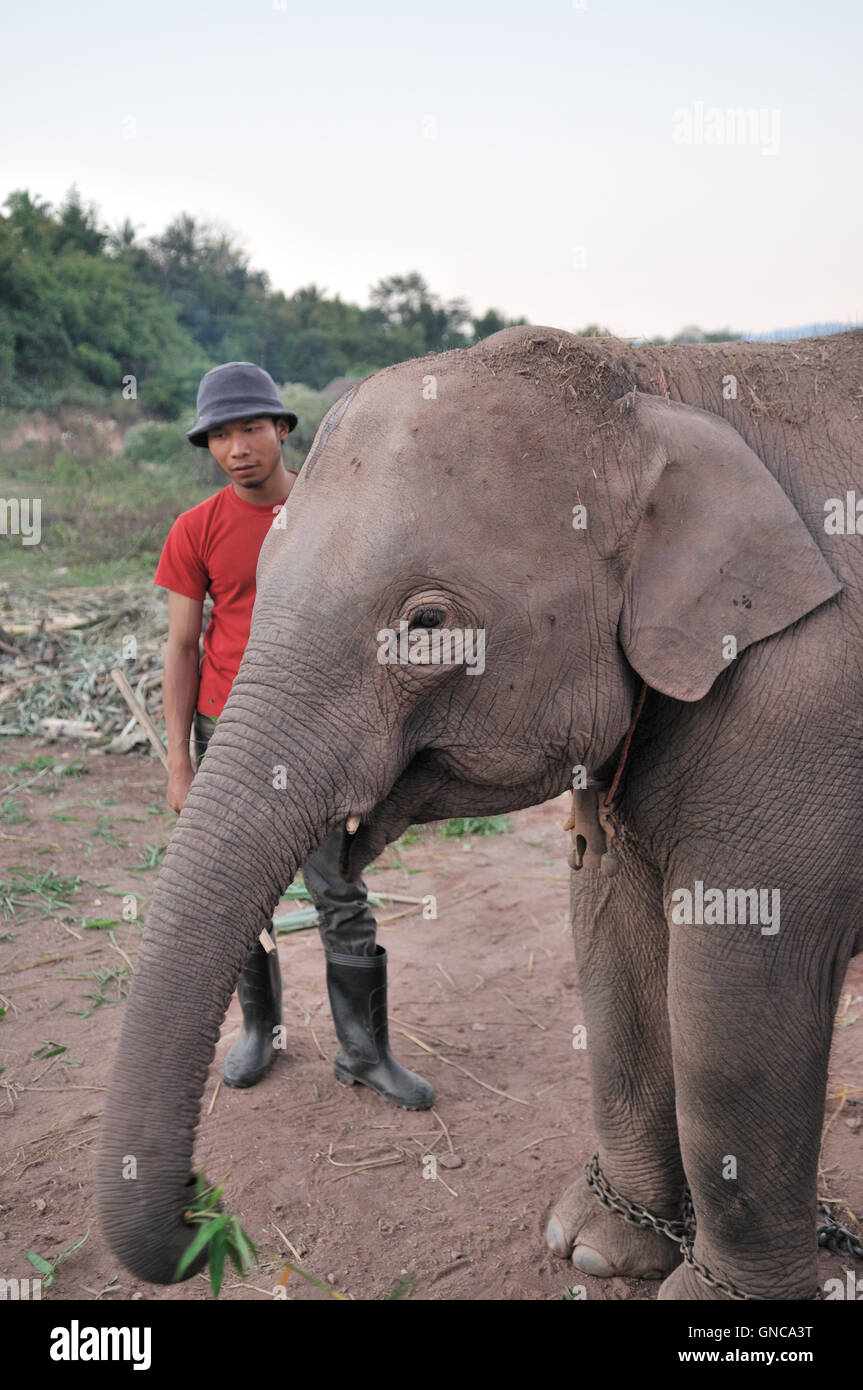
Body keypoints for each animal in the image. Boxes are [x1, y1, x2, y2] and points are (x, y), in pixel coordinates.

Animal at [97, 324, 863, 1299]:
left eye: (426, 624)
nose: (210, 1210)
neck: (659, 381)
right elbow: (610, 949)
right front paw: (595, 1246)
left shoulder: (805, 709)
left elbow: (734, 1006)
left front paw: (706, 1294)